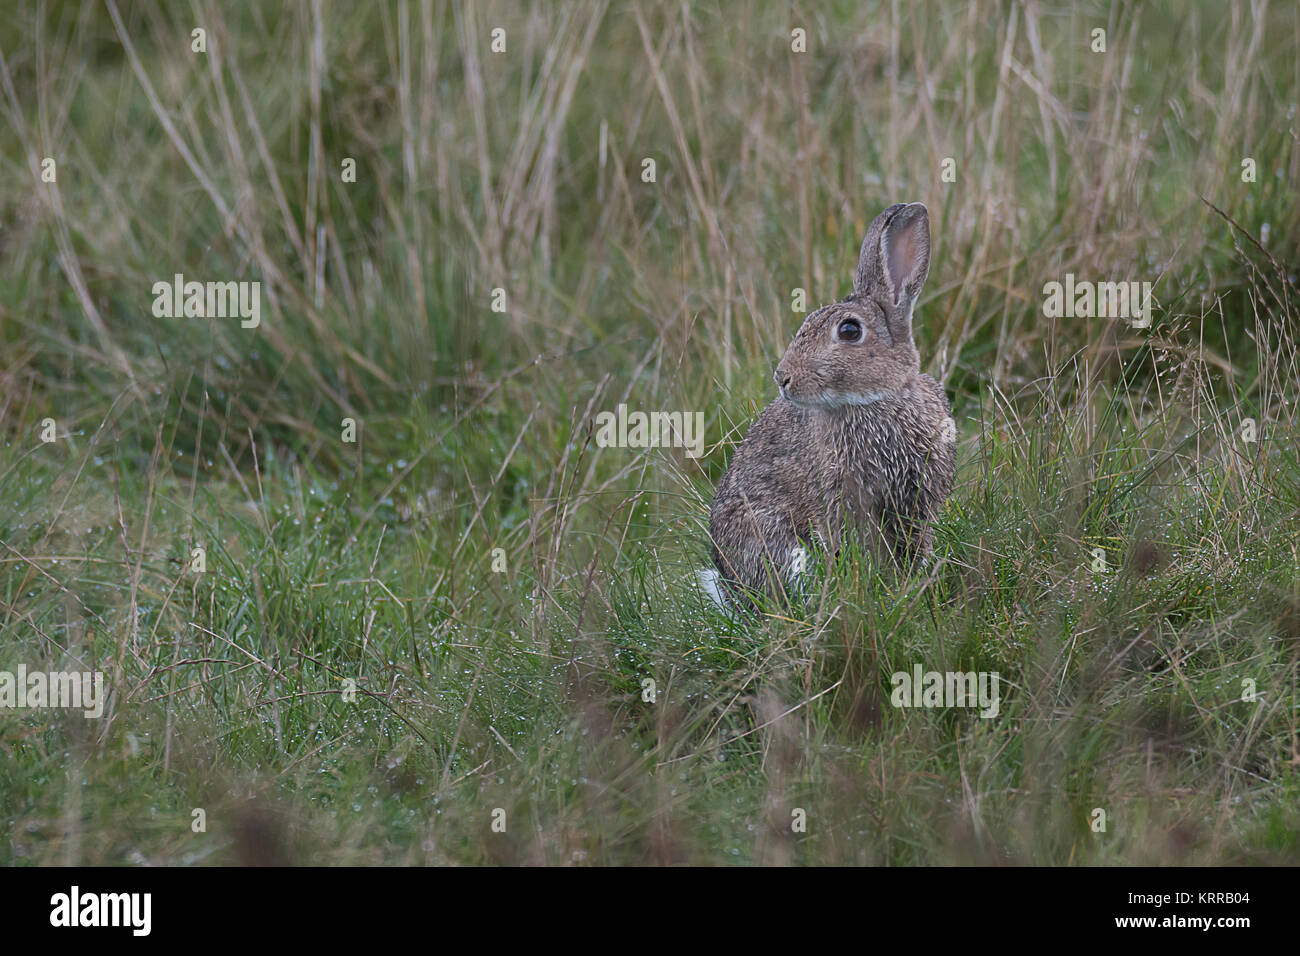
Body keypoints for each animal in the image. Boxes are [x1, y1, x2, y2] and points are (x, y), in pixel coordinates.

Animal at [704, 202, 956, 608]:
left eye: (849, 331)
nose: (782, 378)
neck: (875, 401)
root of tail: (730, 590)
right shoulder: (840, 502)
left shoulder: (921, 498)